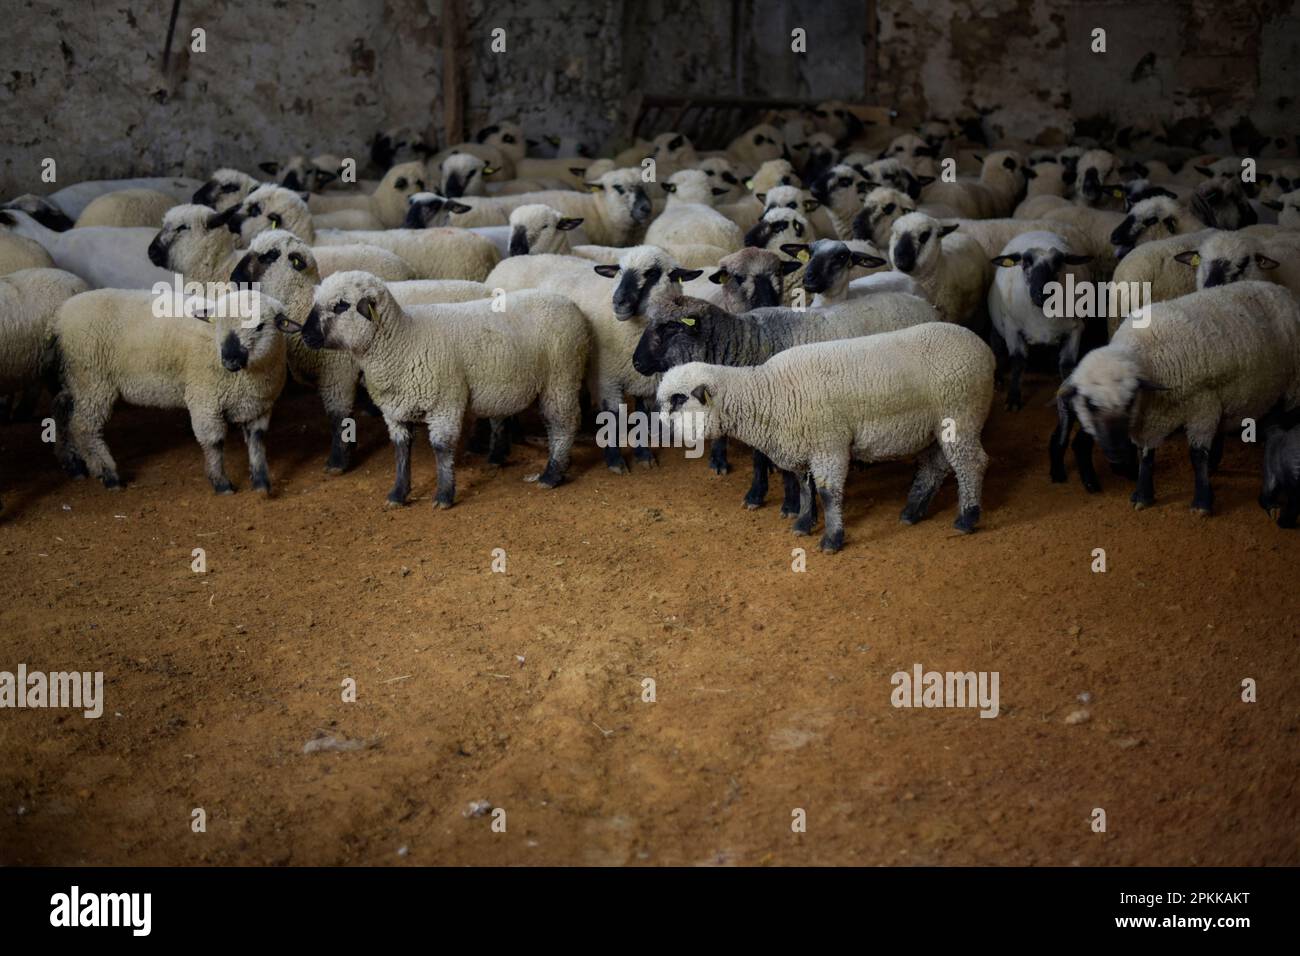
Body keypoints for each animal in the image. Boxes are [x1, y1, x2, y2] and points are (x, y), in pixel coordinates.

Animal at [51, 288, 289, 493]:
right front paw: (221, 483)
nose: (229, 360)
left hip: (73, 381)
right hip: (91, 380)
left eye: (260, 326)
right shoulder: (205, 401)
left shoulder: (257, 407)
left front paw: (261, 481)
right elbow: (214, 442)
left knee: (62, 412)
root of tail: (61, 314)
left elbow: (257, 442)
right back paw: (109, 475)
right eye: (218, 324)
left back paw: (74, 465)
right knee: (83, 427)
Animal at [296, 271, 590, 506]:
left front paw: (444, 496)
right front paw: (398, 494)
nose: (305, 335)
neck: (403, 342)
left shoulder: (444, 403)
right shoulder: (395, 412)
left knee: (563, 423)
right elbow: (401, 450)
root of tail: (568, 303)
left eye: (341, 305)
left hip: (562, 376)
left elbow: (441, 447)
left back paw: (551, 474)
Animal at [655, 322, 995, 551]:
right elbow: (807, 490)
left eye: (677, 399)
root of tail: (984, 348)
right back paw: (912, 512)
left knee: (972, 464)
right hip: (939, 427)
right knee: (936, 466)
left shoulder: (828, 445)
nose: (658, 427)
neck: (767, 392)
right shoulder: (802, 446)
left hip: (962, 415)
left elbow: (828, 493)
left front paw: (833, 538)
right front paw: (804, 524)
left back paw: (967, 519)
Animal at [1060, 281, 1300, 514]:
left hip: (1290, 390)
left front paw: (1202, 502)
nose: (1118, 453)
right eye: (1090, 405)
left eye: (1129, 402)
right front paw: (1142, 496)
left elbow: (1197, 455)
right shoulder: (1152, 420)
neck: (1148, 361)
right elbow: (1146, 456)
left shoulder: (1203, 405)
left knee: (1278, 429)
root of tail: (1281, 290)